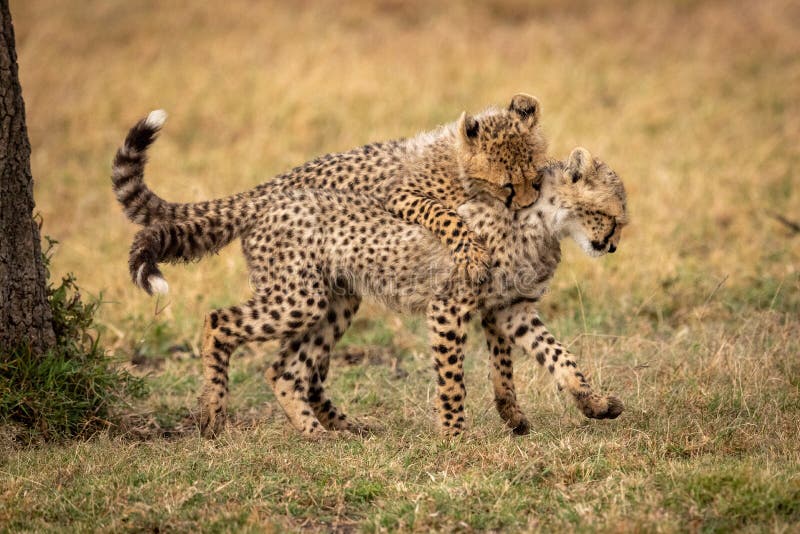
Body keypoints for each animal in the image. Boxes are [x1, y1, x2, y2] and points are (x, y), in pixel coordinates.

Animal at [112, 94, 548, 288]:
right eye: (508, 186)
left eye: (537, 178)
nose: (528, 206)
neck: (457, 163)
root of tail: (268, 187)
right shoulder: (402, 195)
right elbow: (446, 216)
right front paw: (472, 255)